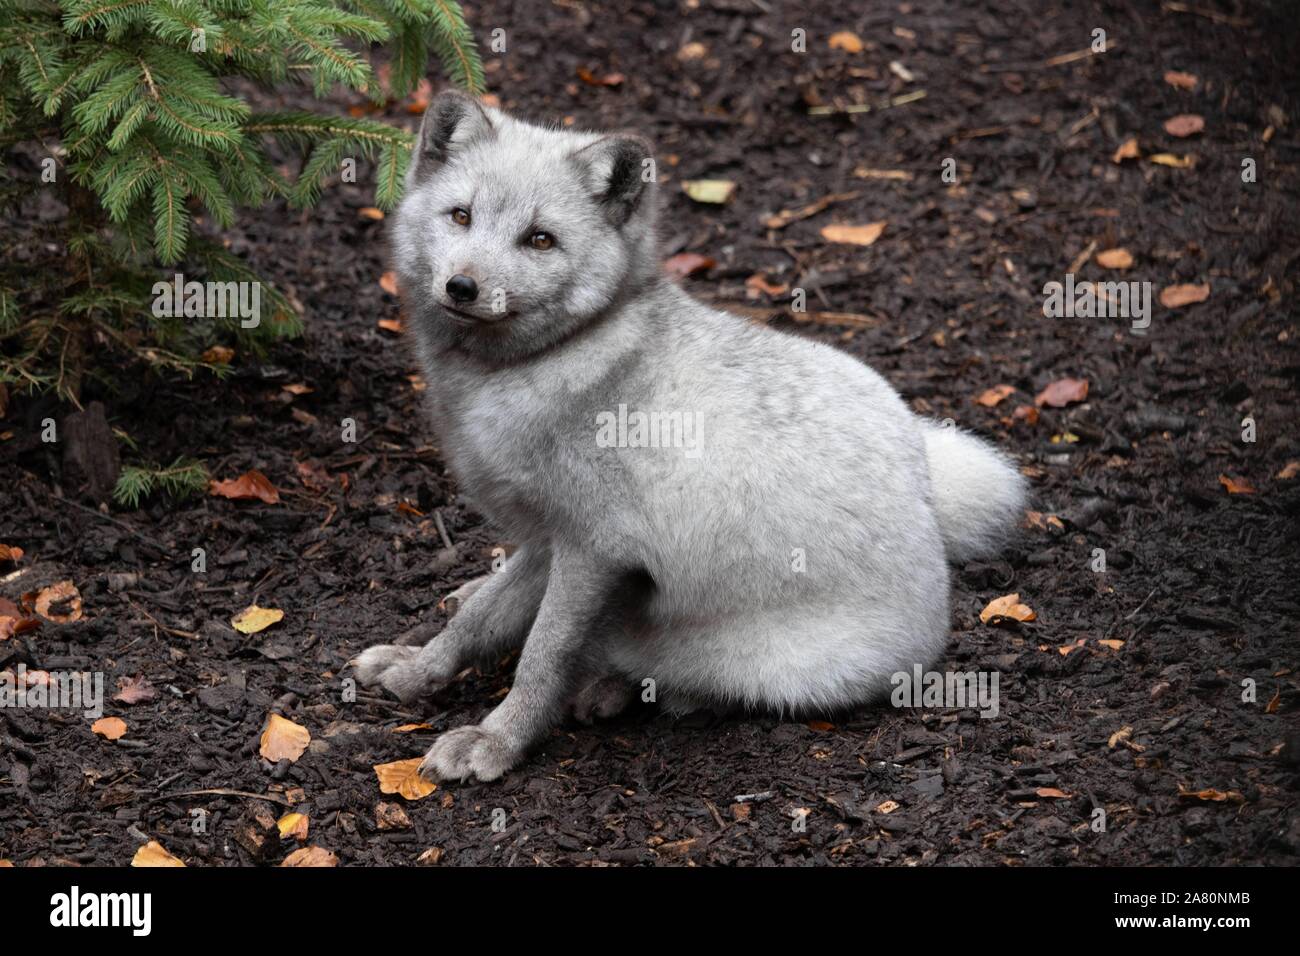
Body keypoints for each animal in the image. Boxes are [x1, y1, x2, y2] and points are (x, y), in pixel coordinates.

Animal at [354, 91, 1026, 782]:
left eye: (540, 239)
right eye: (460, 216)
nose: (462, 286)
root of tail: (929, 514)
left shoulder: (594, 549)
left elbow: (543, 654)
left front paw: (497, 741)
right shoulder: (548, 538)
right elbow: (479, 619)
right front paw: (418, 670)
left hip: (742, 658)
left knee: (676, 681)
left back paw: (612, 688)